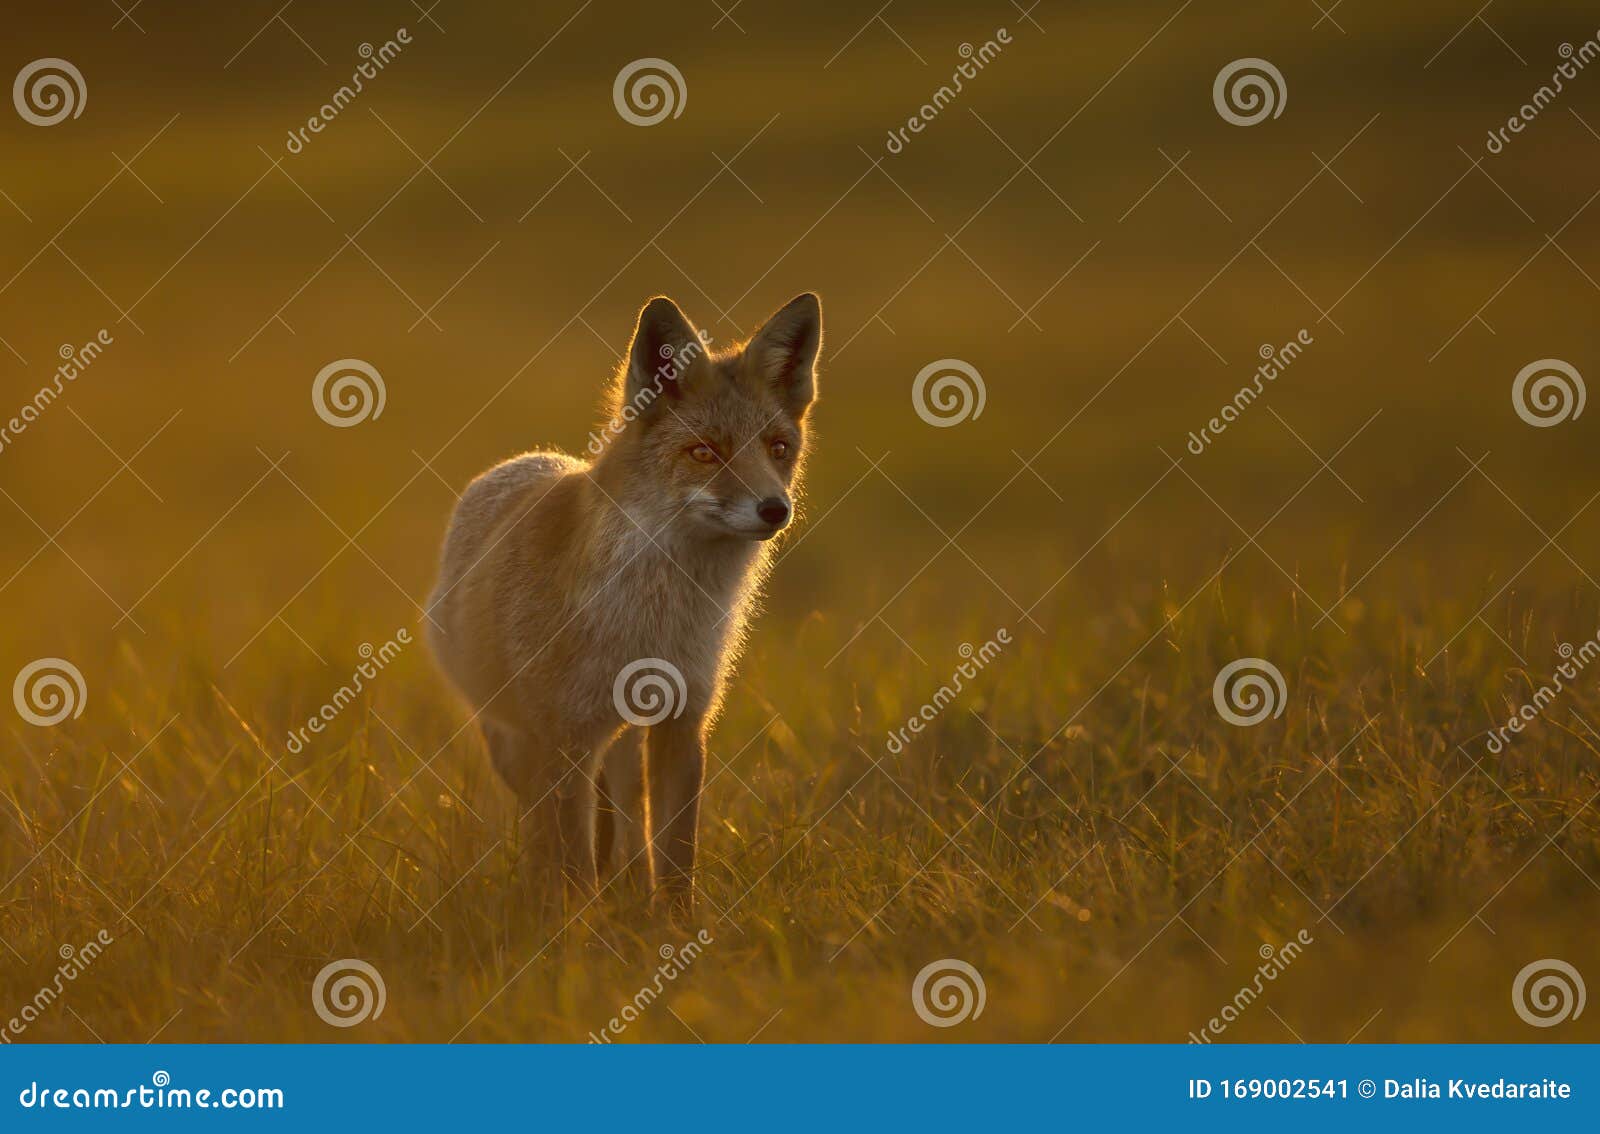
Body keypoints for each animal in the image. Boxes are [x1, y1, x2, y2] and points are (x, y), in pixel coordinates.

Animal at [426, 292, 822, 914]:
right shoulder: (566, 736)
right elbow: (573, 865)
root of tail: (532, 458)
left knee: (630, 822)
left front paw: (676, 926)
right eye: (705, 452)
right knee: (543, 829)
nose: (775, 508)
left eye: (778, 449)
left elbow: (676, 855)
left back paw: (631, 891)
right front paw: (577, 931)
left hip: (621, 742)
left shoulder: (684, 722)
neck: (651, 620)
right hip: (515, 745)